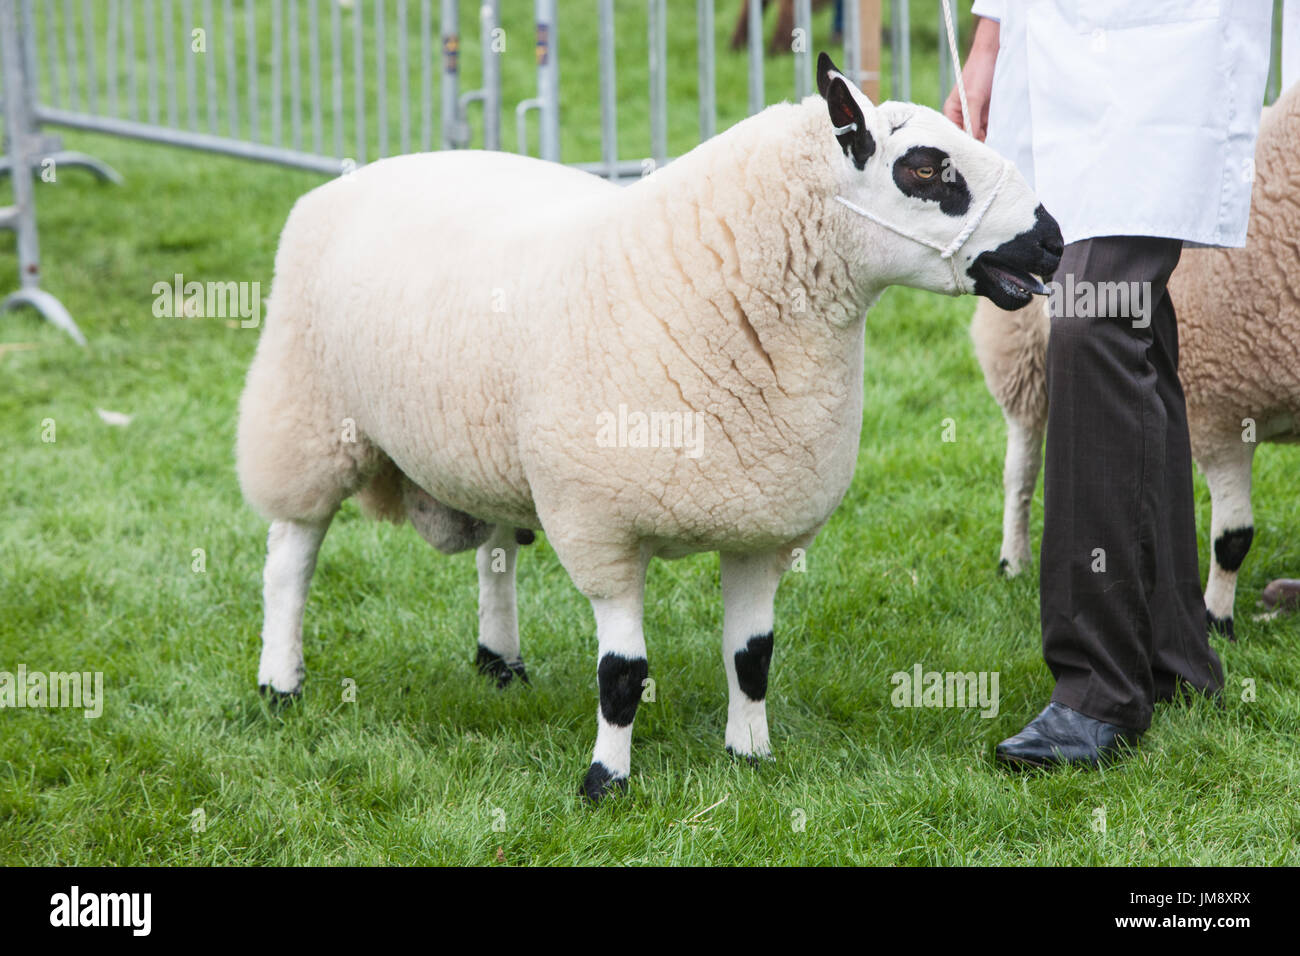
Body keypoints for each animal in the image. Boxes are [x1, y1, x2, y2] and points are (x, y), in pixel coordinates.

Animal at [236, 54, 1061, 802]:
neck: (717, 289)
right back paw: (281, 683)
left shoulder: (760, 523)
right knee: (290, 557)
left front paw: (751, 756)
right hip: (306, 416)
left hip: (495, 445)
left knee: (495, 552)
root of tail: (361, 172)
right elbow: (622, 676)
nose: (1051, 240)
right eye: (924, 168)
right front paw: (606, 783)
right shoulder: (602, 527)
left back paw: (501, 662)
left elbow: (753, 657)